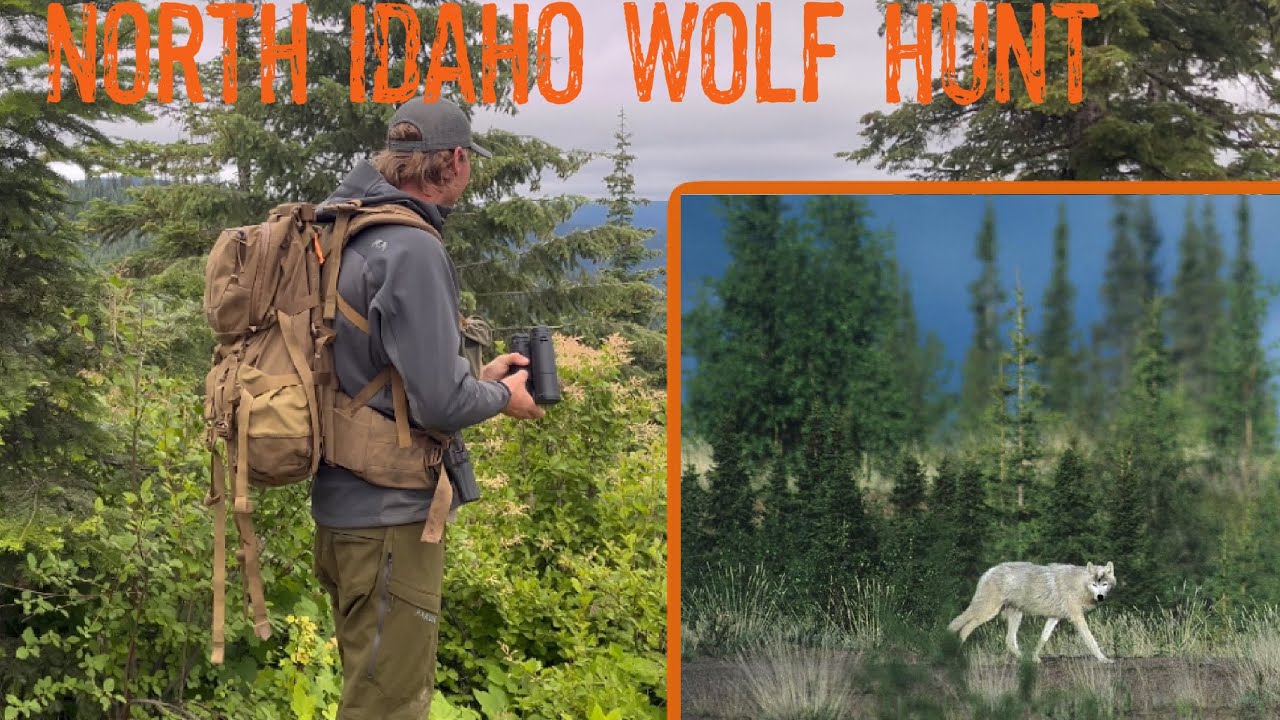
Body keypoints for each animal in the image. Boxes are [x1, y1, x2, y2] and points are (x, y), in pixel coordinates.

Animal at [948, 561, 1117, 663]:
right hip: (987, 612)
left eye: (1104, 584)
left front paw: (1035, 658)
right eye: (1094, 584)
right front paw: (1104, 659)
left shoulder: (1054, 617)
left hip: (1015, 615)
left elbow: (1042, 639)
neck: (1079, 585)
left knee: (1009, 641)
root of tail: (989, 571)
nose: (1100, 596)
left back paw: (1024, 659)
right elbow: (1091, 640)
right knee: (962, 626)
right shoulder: (1077, 617)